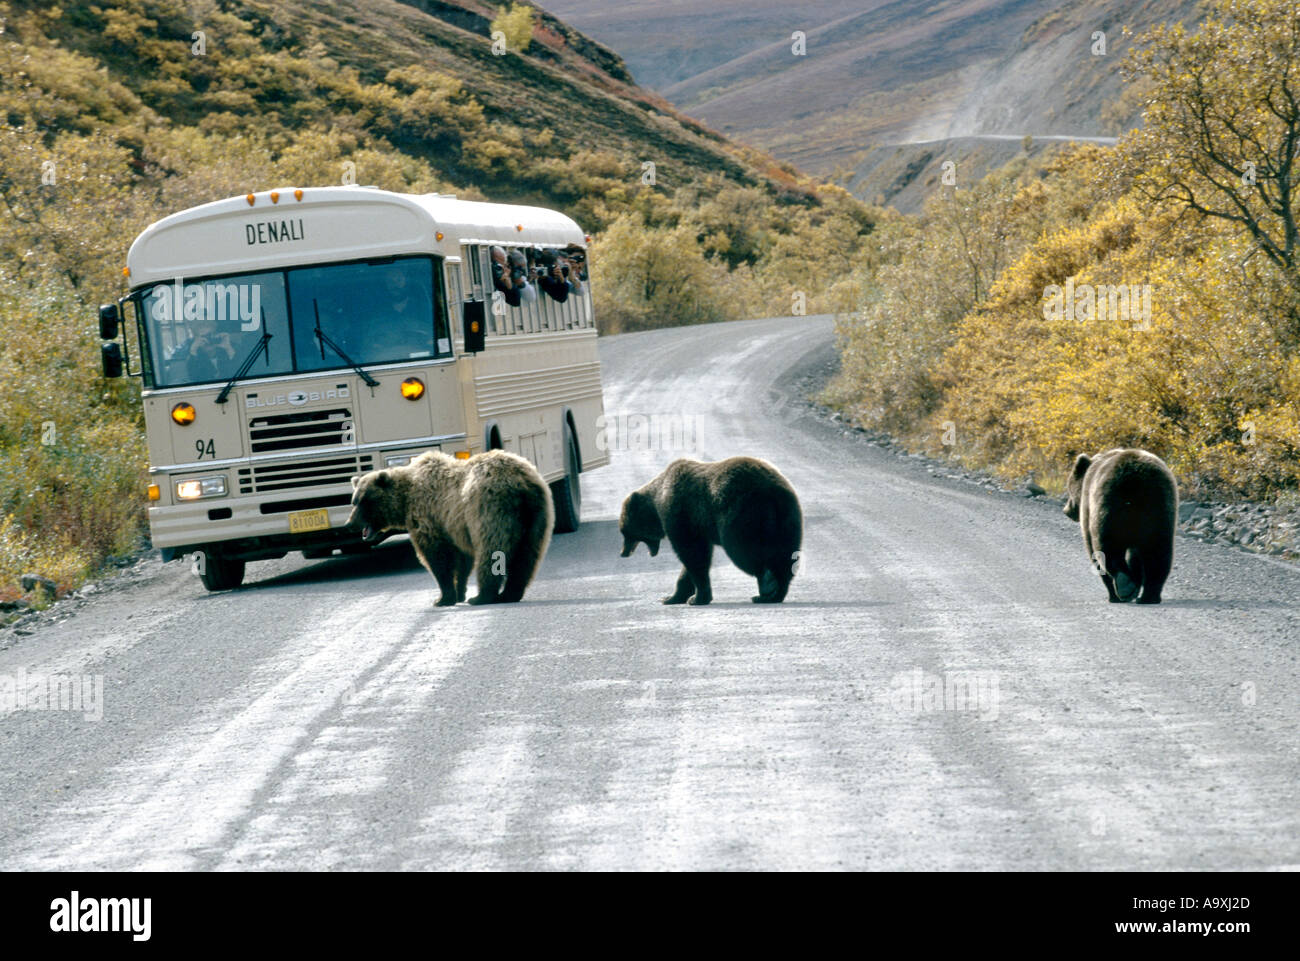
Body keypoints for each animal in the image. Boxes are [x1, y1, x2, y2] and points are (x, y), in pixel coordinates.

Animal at [348, 449, 553, 605]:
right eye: (354, 500)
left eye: (364, 500)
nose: (350, 523)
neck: (405, 499)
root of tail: (520, 483)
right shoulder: (456, 526)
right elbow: (462, 560)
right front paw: (459, 592)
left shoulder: (429, 516)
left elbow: (438, 557)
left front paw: (443, 598)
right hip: (536, 515)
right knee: (527, 556)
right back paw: (509, 594)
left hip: (489, 508)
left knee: (491, 552)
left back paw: (482, 596)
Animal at [619, 456, 802, 605]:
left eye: (624, 532)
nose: (623, 552)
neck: (657, 501)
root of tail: (772, 491)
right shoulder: (700, 527)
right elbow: (692, 560)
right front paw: (671, 597)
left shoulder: (681, 513)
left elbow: (692, 553)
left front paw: (697, 598)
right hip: (787, 519)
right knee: (786, 555)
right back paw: (774, 593)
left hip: (741, 515)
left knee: (745, 551)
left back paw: (767, 583)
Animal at [1063, 447, 1177, 604]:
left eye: (1068, 488)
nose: (1066, 510)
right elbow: (1135, 557)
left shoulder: (1088, 508)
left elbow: (1092, 548)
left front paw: (1114, 594)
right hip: (1160, 509)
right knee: (1158, 553)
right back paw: (1148, 596)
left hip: (1108, 508)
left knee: (1107, 548)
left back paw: (1123, 587)